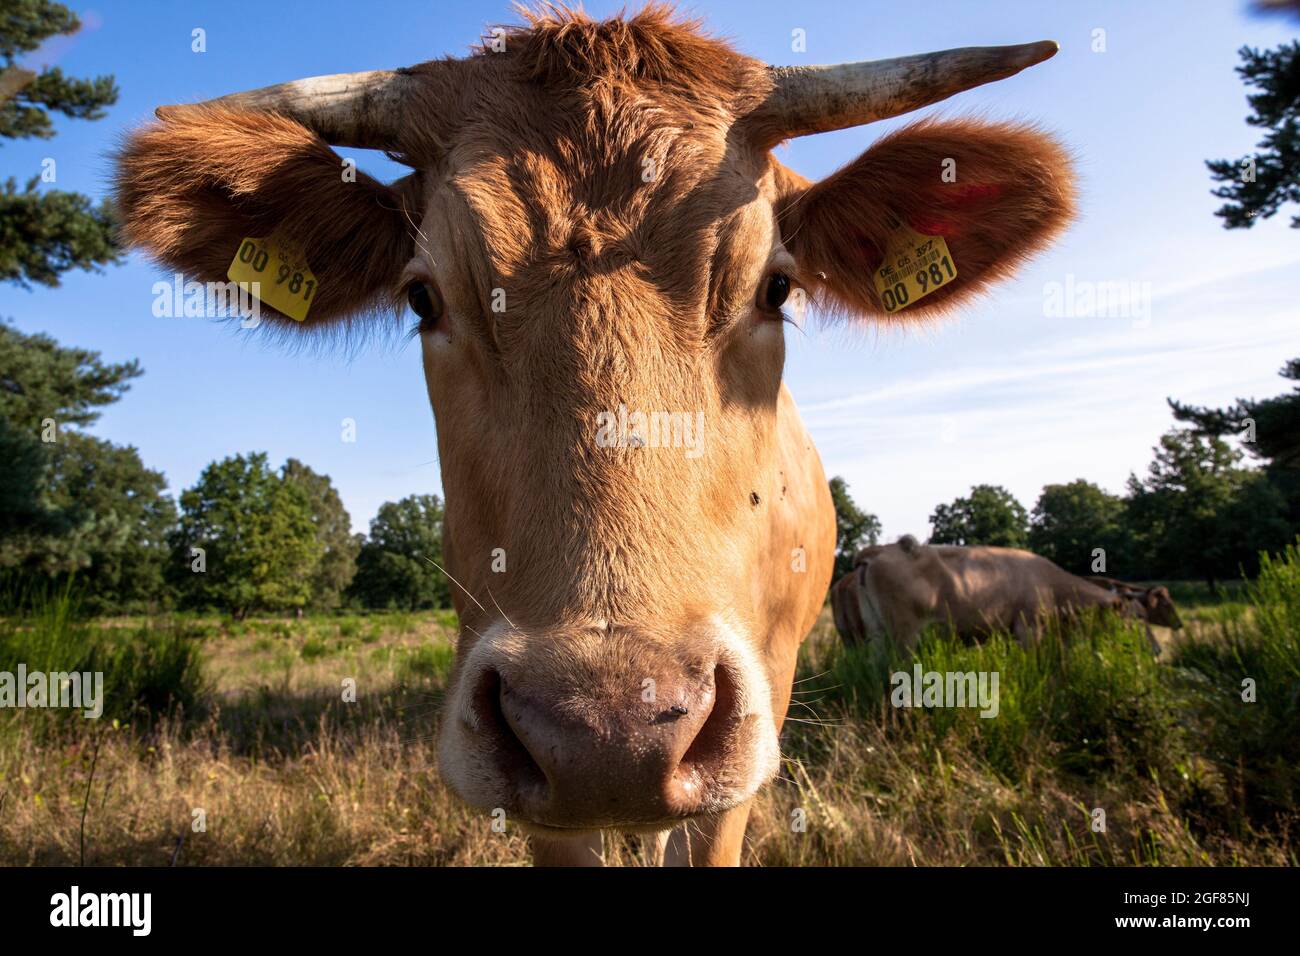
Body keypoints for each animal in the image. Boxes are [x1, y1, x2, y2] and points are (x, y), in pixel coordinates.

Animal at [840, 536, 1156, 653]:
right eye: (1140, 617)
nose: (1157, 650)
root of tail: (880, 549)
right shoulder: (1029, 628)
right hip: (905, 635)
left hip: (877, 635)